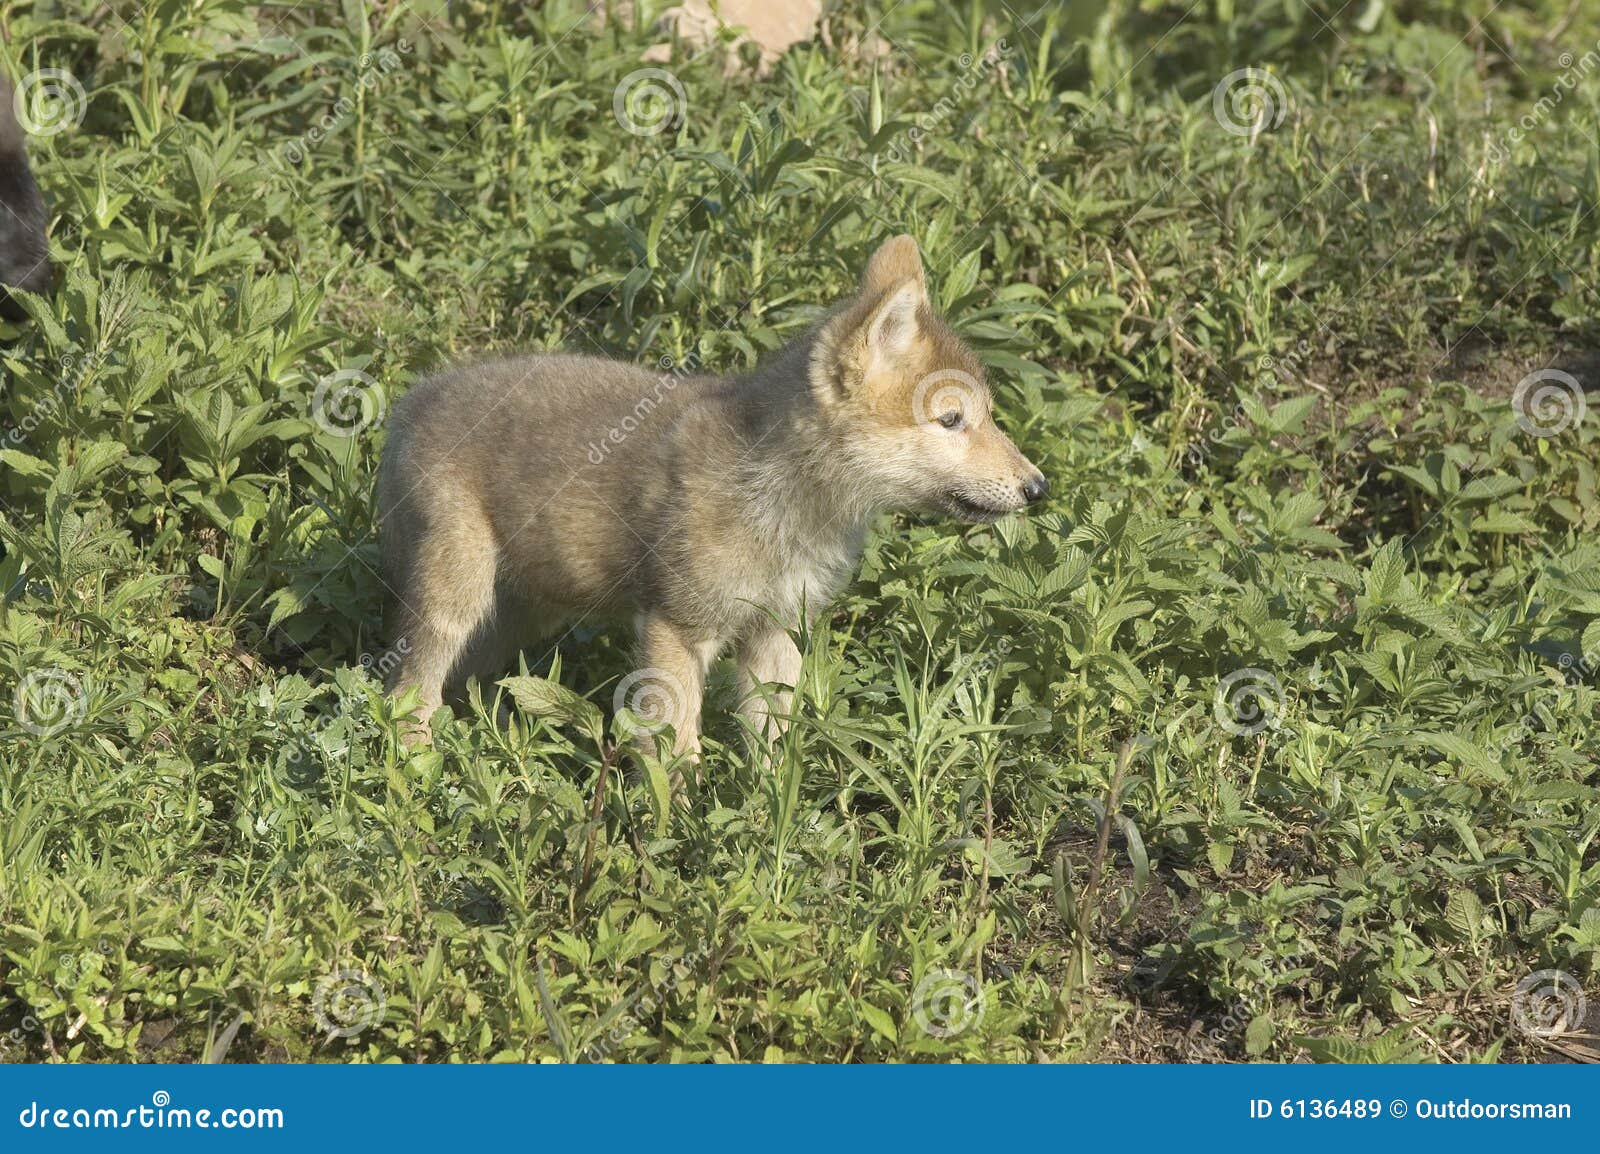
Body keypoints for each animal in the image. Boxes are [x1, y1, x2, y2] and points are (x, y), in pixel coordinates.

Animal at [377, 235, 1046, 756]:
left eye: (988, 415)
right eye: (953, 419)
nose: (1037, 487)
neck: (782, 503)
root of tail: (411, 403)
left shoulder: (776, 633)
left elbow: (773, 750)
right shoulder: (677, 628)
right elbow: (678, 753)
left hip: (520, 611)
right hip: (454, 598)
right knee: (405, 692)